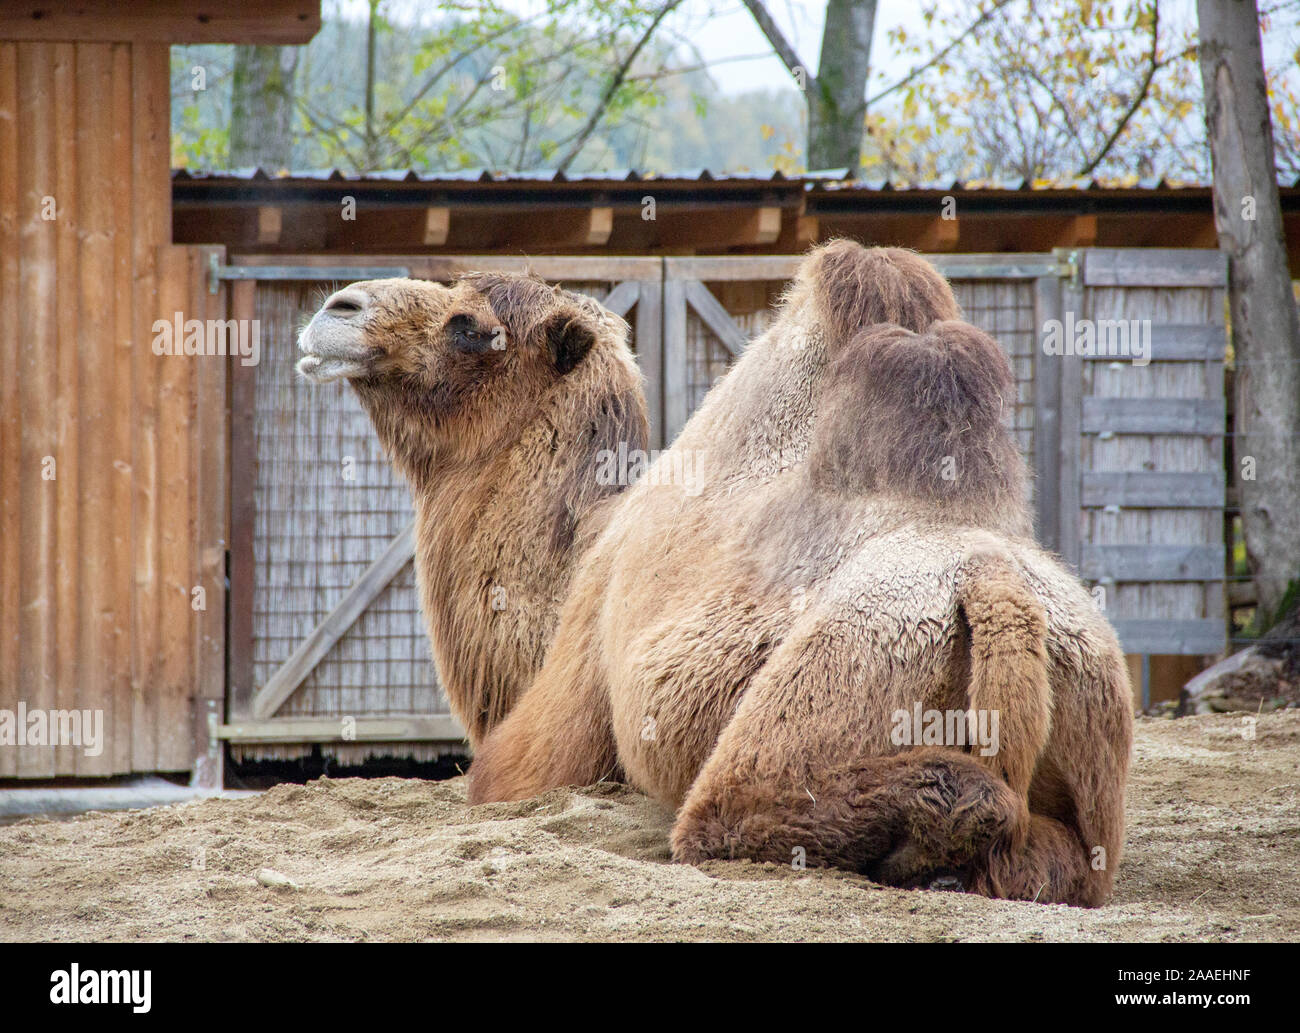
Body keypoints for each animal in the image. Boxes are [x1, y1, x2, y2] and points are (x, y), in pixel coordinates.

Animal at [298, 242, 1132, 906]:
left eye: (472, 327)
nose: (338, 305)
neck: (582, 554)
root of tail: (997, 591)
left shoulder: (560, 710)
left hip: (843, 667)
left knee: (736, 809)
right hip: (1094, 736)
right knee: (1058, 855)